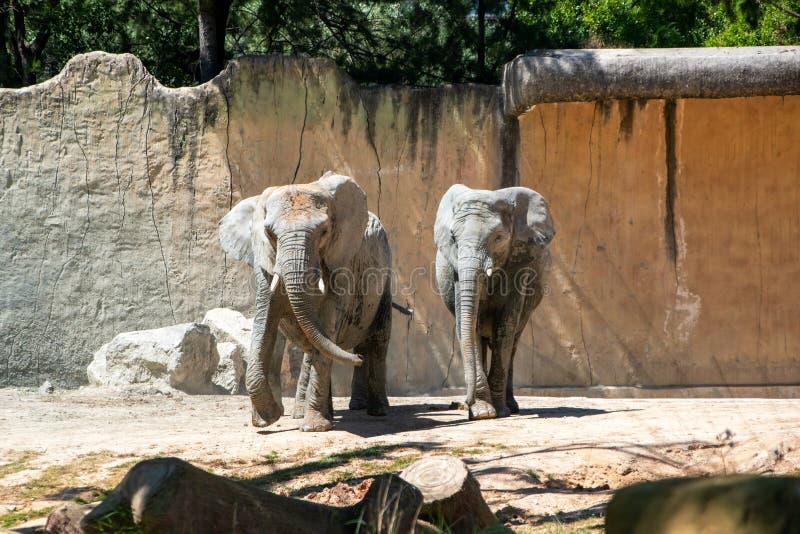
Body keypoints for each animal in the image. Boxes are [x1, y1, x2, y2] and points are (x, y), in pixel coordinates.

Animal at [219, 172, 391, 432]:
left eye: (324, 231)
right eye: (270, 233)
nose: (357, 361)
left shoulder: (341, 262)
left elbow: (327, 325)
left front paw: (313, 428)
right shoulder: (264, 260)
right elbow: (265, 326)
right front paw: (267, 419)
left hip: (386, 277)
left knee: (379, 340)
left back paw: (378, 411)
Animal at [434, 184, 555, 421]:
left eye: (498, 237)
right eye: (453, 238)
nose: (464, 403)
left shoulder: (519, 265)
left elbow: (505, 328)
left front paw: (499, 411)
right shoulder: (456, 272)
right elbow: (469, 326)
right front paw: (482, 413)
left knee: (514, 341)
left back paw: (511, 407)